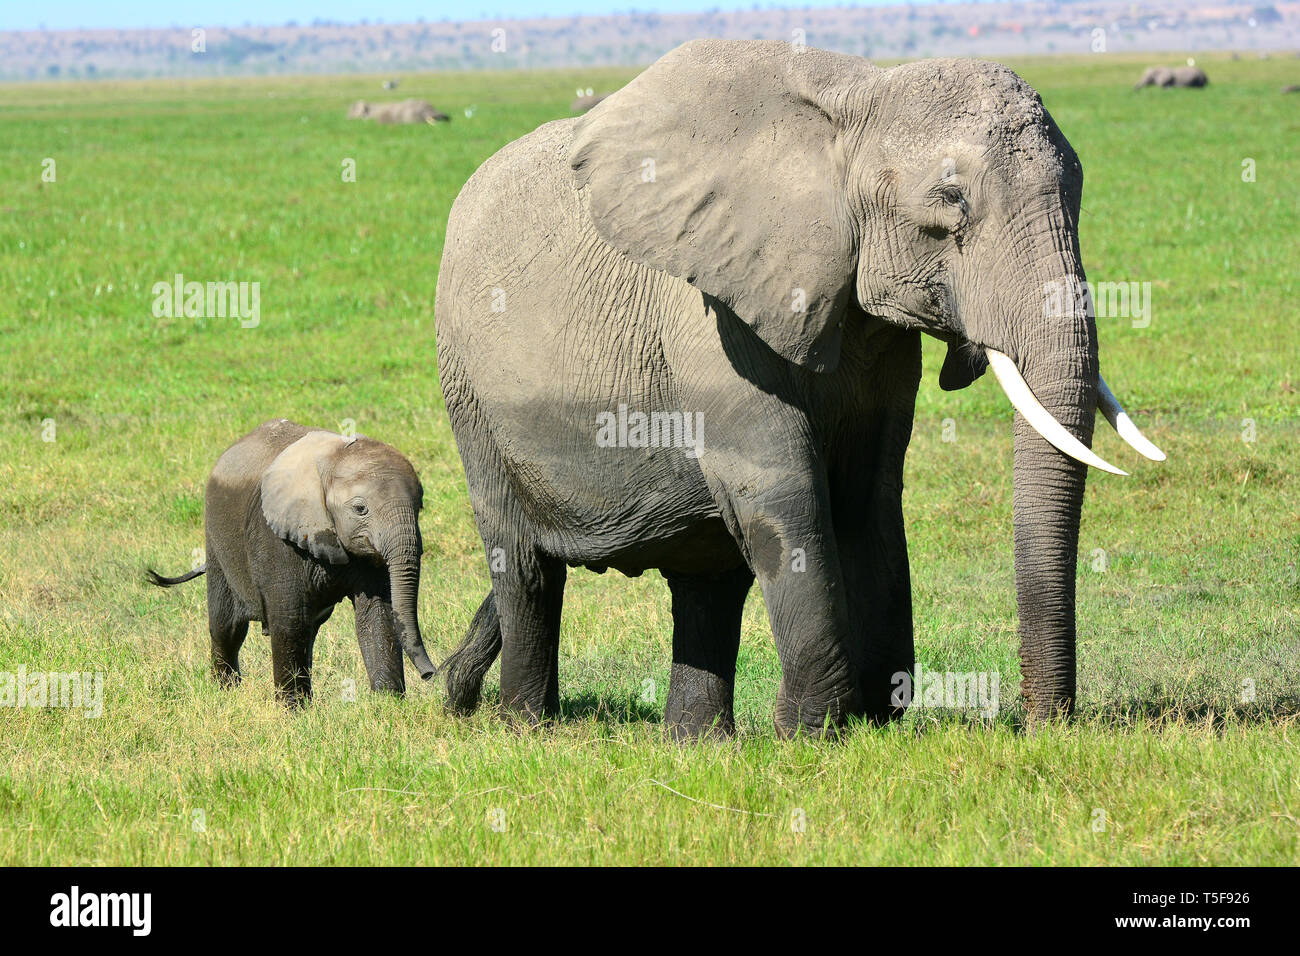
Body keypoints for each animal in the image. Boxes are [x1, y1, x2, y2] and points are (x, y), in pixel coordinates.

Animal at [146, 420, 437, 704]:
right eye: (360, 509)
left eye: (419, 506)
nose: (430, 674)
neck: (334, 459)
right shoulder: (276, 538)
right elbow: (290, 618)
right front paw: (292, 710)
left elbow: (377, 613)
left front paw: (388, 704)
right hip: (217, 539)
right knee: (227, 627)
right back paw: (225, 692)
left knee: (309, 628)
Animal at [433, 40, 1165, 738]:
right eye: (950, 204)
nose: (1043, 725)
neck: (859, 102)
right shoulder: (712, 312)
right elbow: (786, 490)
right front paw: (813, 731)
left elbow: (869, 490)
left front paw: (873, 715)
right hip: (467, 385)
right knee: (525, 564)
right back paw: (525, 726)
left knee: (707, 579)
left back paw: (696, 743)